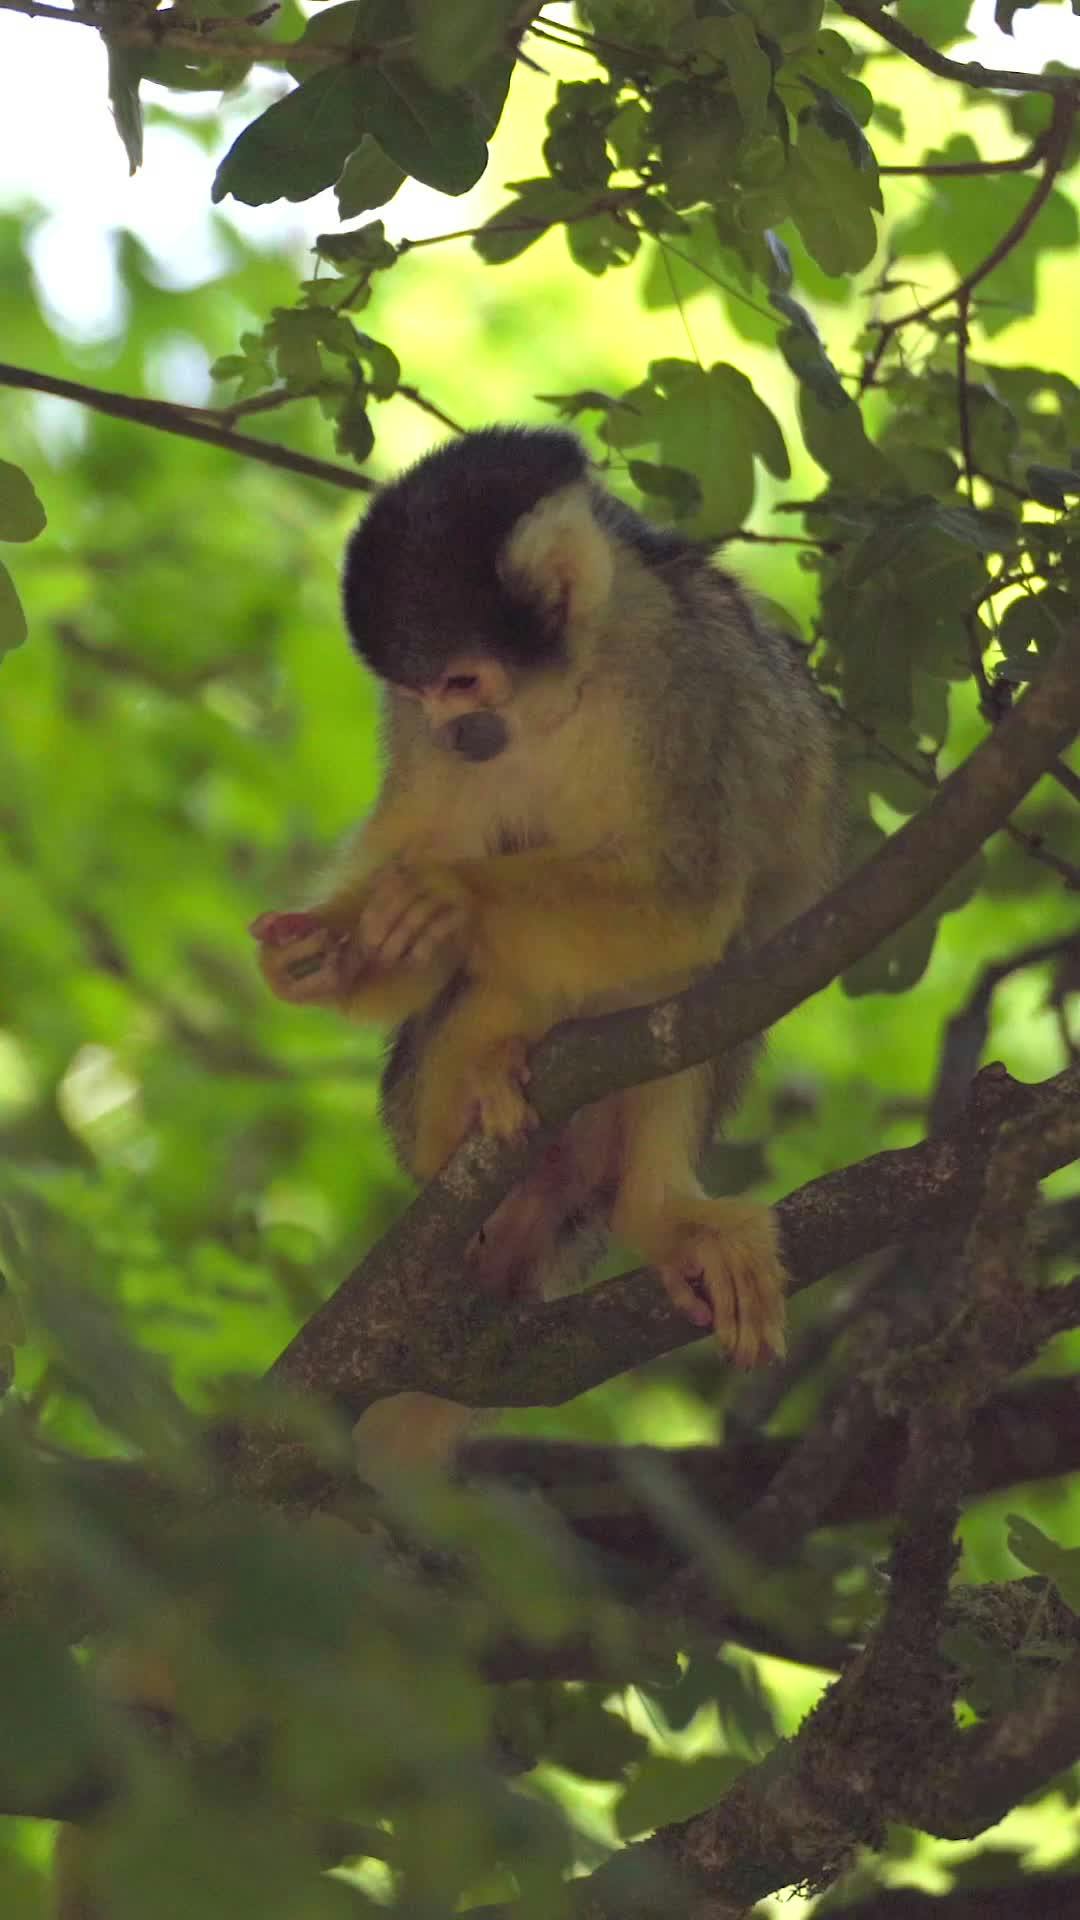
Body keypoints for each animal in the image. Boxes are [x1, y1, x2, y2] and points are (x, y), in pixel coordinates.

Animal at [251, 425, 839, 1405]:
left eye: (461, 681)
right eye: (418, 691)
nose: (452, 730)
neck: (564, 693)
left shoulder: (688, 684)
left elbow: (686, 904)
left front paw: (451, 898)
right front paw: (334, 952)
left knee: (707, 987)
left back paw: (657, 1208)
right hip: (411, 1115)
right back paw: (481, 1072)